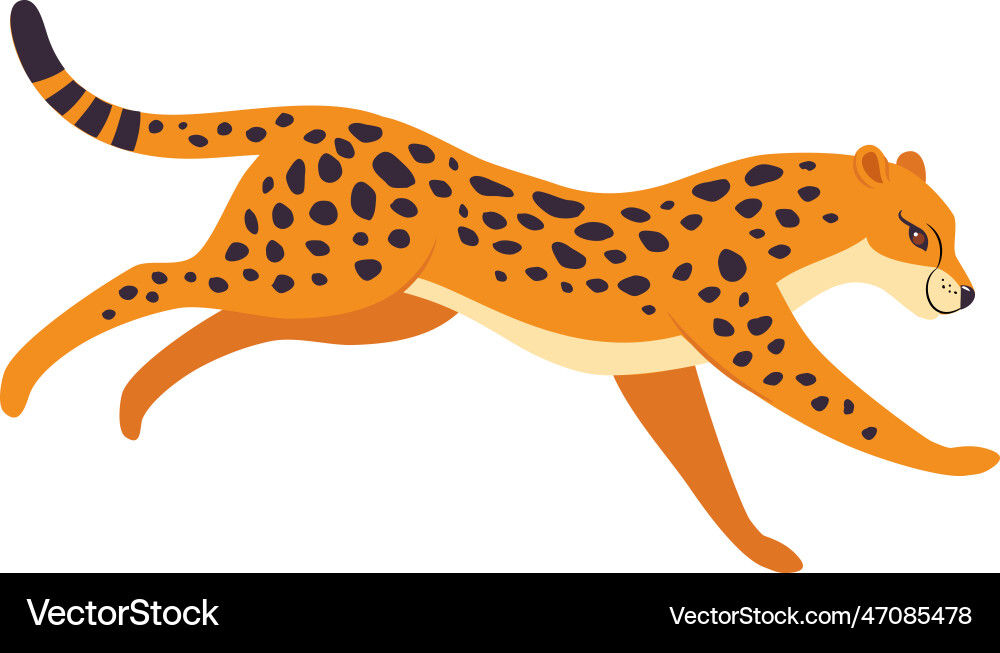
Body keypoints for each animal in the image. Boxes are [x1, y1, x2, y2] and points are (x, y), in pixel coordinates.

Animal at [4, 0, 996, 572]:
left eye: (951, 229)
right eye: (919, 232)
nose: (968, 295)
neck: (803, 234)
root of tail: (315, 111)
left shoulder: (656, 367)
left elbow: (708, 469)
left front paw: (758, 547)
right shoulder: (746, 337)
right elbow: (853, 410)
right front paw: (956, 459)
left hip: (361, 302)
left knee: (216, 316)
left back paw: (132, 401)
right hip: (319, 270)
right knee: (148, 275)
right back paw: (20, 386)